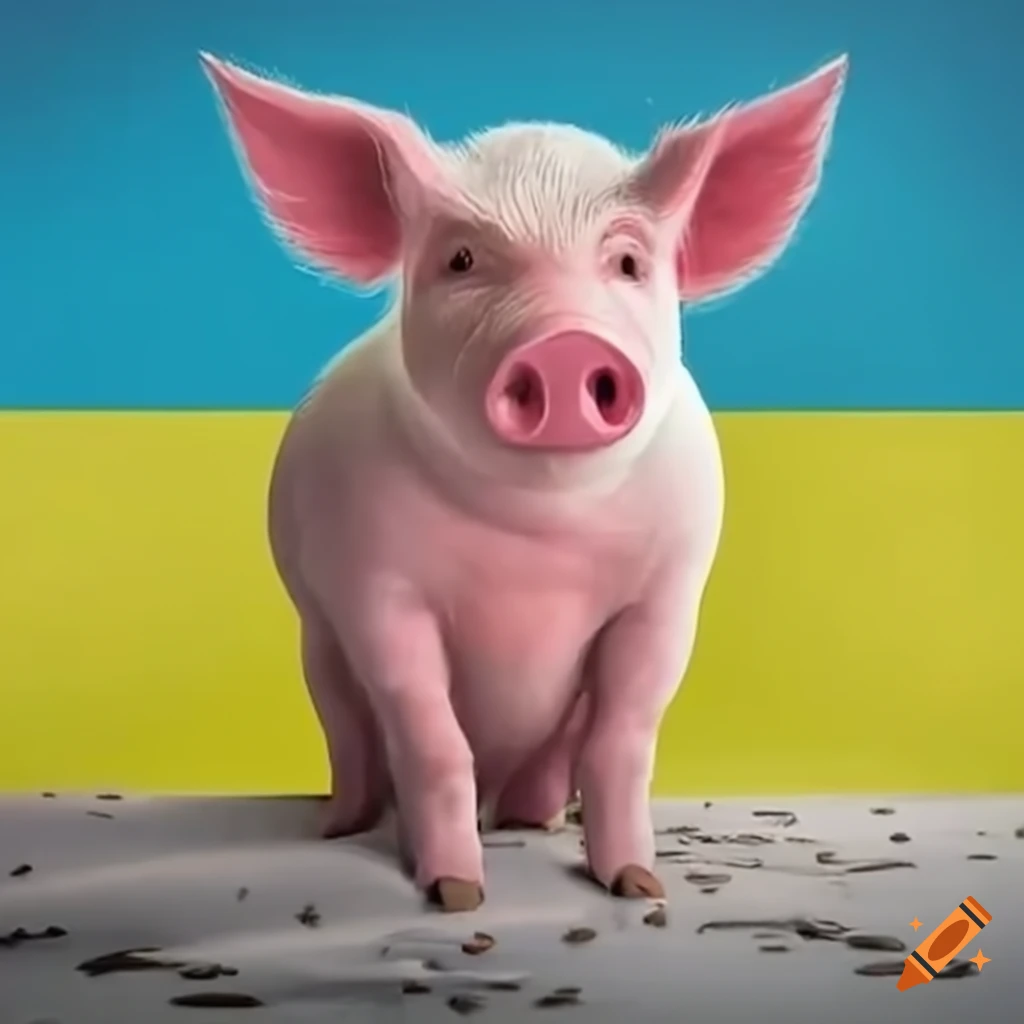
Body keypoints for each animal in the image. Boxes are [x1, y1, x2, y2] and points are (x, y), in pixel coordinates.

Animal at [201, 52, 847, 912]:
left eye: (629, 263)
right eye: (461, 260)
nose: (566, 345)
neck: (537, 542)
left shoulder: (669, 594)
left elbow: (624, 738)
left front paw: (638, 886)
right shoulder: (374, 588)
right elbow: (430, 736)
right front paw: (455, 895)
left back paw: (532, 820)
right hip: (317, 640)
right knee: (349, 729)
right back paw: (344, 827)